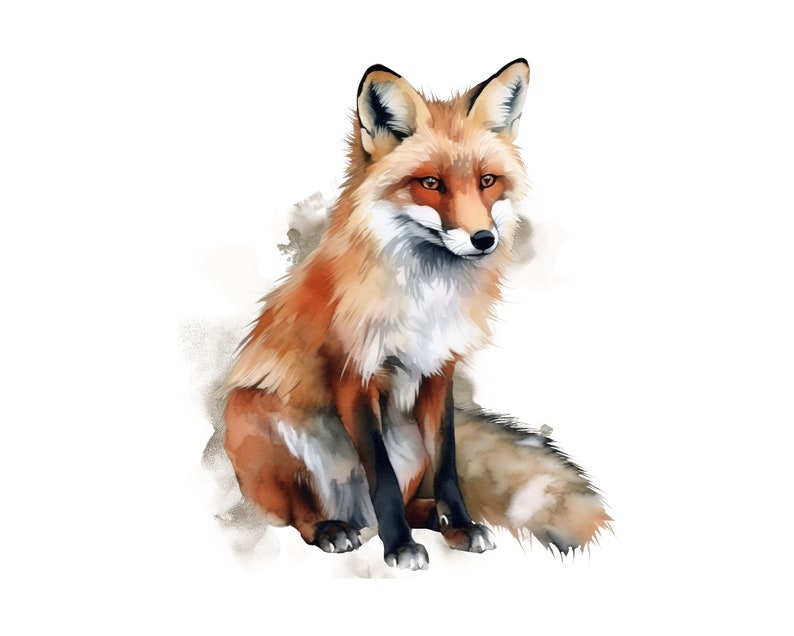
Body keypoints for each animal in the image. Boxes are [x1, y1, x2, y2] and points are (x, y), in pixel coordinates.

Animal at [222, 58, 610, 570]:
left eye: (487, 181)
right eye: (430, 183)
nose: (483, 239)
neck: (426, 298)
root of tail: (354, 511)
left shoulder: (439, 372)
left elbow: (448, 467)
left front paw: (460, 524)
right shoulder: (354, 376)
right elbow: (382, 479)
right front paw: (400, 547)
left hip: (406, 439)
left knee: (411, 502)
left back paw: (440, 522)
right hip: (256, 416)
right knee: (299, 514)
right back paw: (334, 529)